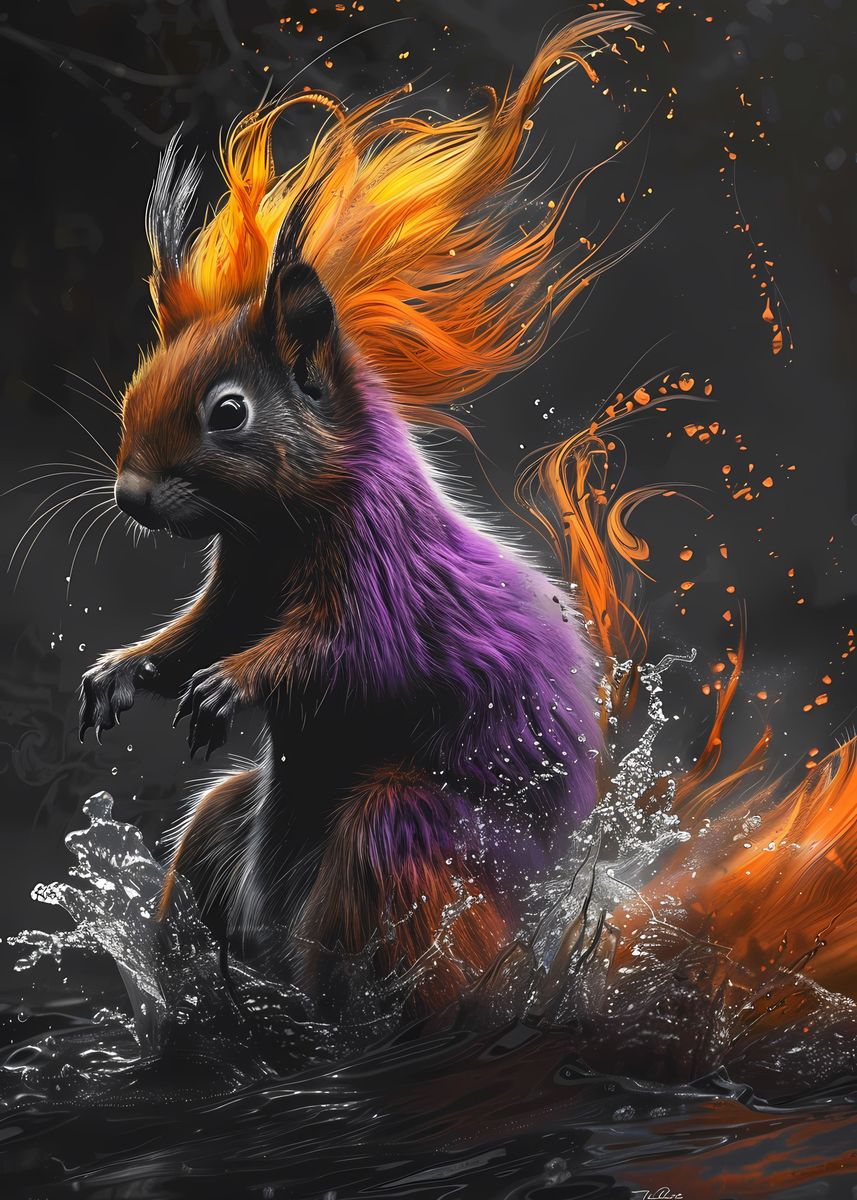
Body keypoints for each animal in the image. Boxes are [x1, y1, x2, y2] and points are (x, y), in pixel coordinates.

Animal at [78, 16, 626, 1006]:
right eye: (137, 384)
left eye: (228, 412)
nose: (131, 497)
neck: (278, 528)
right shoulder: (242, 580)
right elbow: (202, 632)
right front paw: (123, 671)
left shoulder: (384, 571)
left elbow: (345, 651)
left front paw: (235, 683)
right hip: (220, 826)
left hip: (394, 828)